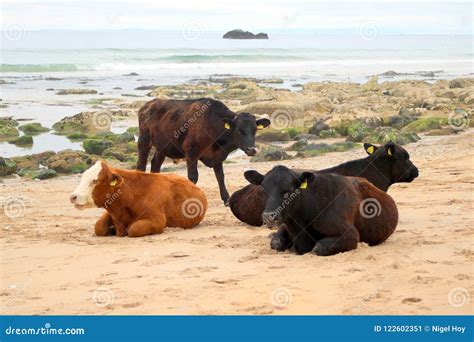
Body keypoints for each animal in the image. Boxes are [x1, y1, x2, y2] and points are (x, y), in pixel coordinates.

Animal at [69, 161, 206, 236]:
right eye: (83, 177)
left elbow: (133, 229)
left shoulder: (158, 220)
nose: (73, 196)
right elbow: (99, 227)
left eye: (95, 181)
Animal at [137, 97, 270, 204]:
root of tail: (148, 104)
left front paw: (226, 199)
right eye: (238, 130)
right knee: (141, 165)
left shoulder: (217, 156)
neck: (212, 124)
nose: (252, 150)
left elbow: (220, 177)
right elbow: (193, 177)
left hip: (162, 147)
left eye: (255, 130)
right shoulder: (191, 152)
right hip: (144, 141)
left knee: (155, 164)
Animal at [246, 166, 398, 256]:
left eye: (288, 191)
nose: (268, 216)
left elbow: (318, 248)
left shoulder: (351, 234)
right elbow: (276, 243)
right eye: (264, 190)